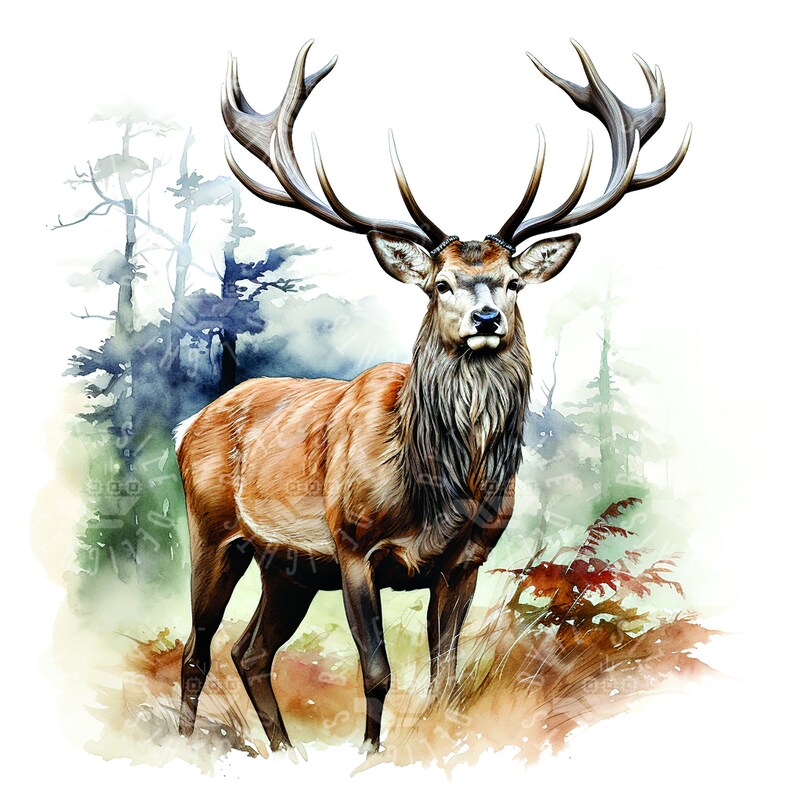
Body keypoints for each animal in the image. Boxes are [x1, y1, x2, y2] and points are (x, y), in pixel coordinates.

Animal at [175, 39, 690, 754]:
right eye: (441, 283)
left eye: (511, 282)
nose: (486, 317)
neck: (441, 489)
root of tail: (188, 425)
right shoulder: (353, 546)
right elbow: (377, 671)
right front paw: (369, 755)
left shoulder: (465, 561)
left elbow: (446, 672)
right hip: (215, 530)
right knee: (197, 649)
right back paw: (183, 744)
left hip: (290, 568)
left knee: (249, 652)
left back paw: (287, 755)